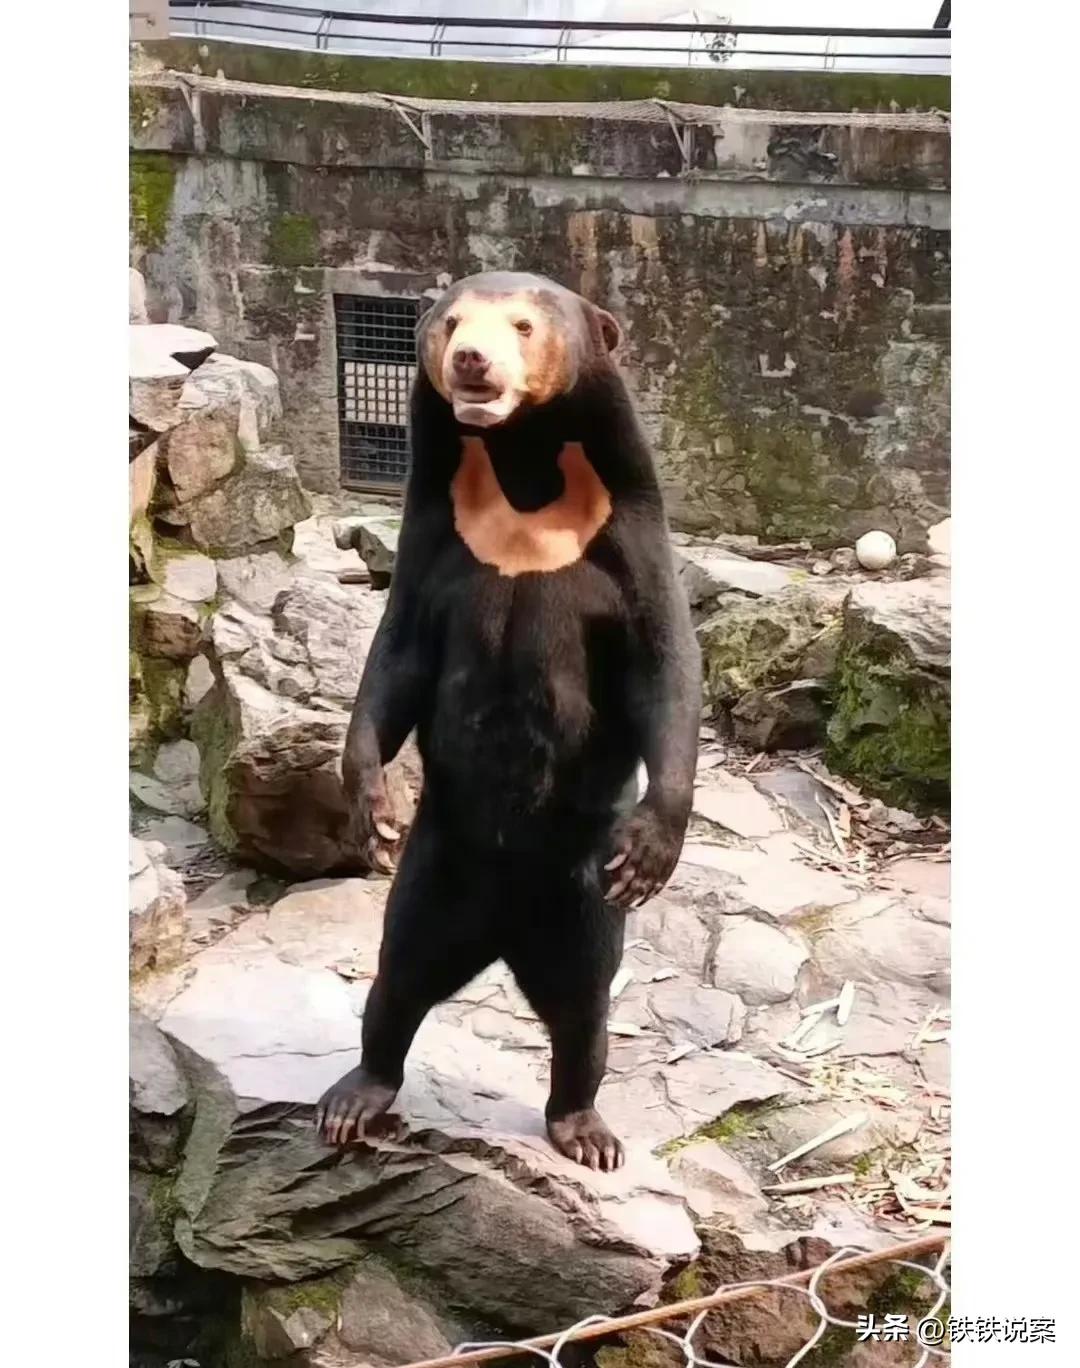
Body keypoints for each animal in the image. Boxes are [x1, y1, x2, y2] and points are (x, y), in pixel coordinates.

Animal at [315, 272, 701, 1171]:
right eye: (453, 321)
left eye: (523, 325)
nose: (471, 361)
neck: (522, 475)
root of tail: (498, 936)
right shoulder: (436, 537)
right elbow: (396, 659)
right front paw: (370, 805)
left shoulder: (627, 538)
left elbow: (665, 668)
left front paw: (652, 848)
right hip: (434, 875)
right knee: (398, 977)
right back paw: (356, 1097)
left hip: (577, 894)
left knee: (584, 1008)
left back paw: (583, 1128)